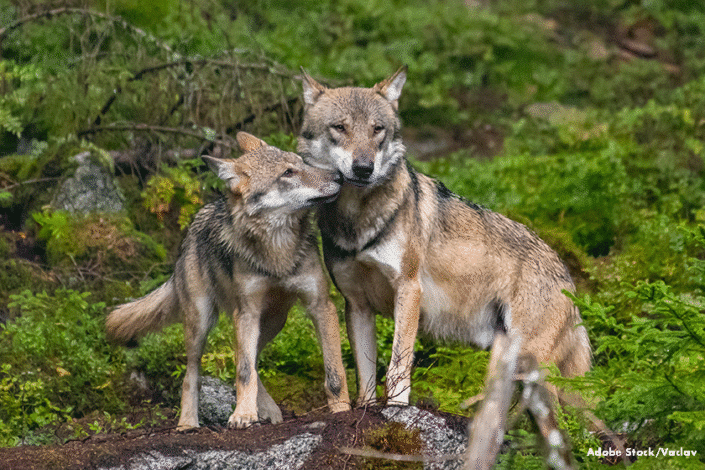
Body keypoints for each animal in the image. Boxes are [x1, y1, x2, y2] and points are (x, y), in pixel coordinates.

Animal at [106, 132, 350, 429]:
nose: (339, 176)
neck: (277, 252)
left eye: (302, 162)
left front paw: (342, 410)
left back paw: (267, 410)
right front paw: (243, 414)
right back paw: (188, 422)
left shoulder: (321, 306)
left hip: (273, 321)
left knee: (249, 358)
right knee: (195, 374)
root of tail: (192, 227)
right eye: (288, 173)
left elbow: (334, 372)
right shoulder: (246, 312)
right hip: (202, 323)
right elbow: (243, 371)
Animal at [298, 67, 591, 405]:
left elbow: (397, 366)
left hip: (533, 362)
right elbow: (366, 378)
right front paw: (367, 410)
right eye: (340, 127)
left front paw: (397, 411)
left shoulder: (409, 290)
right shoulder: (357, 306)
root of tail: (566, 273)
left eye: (377, 129)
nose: (363, 168)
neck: (357, 218)